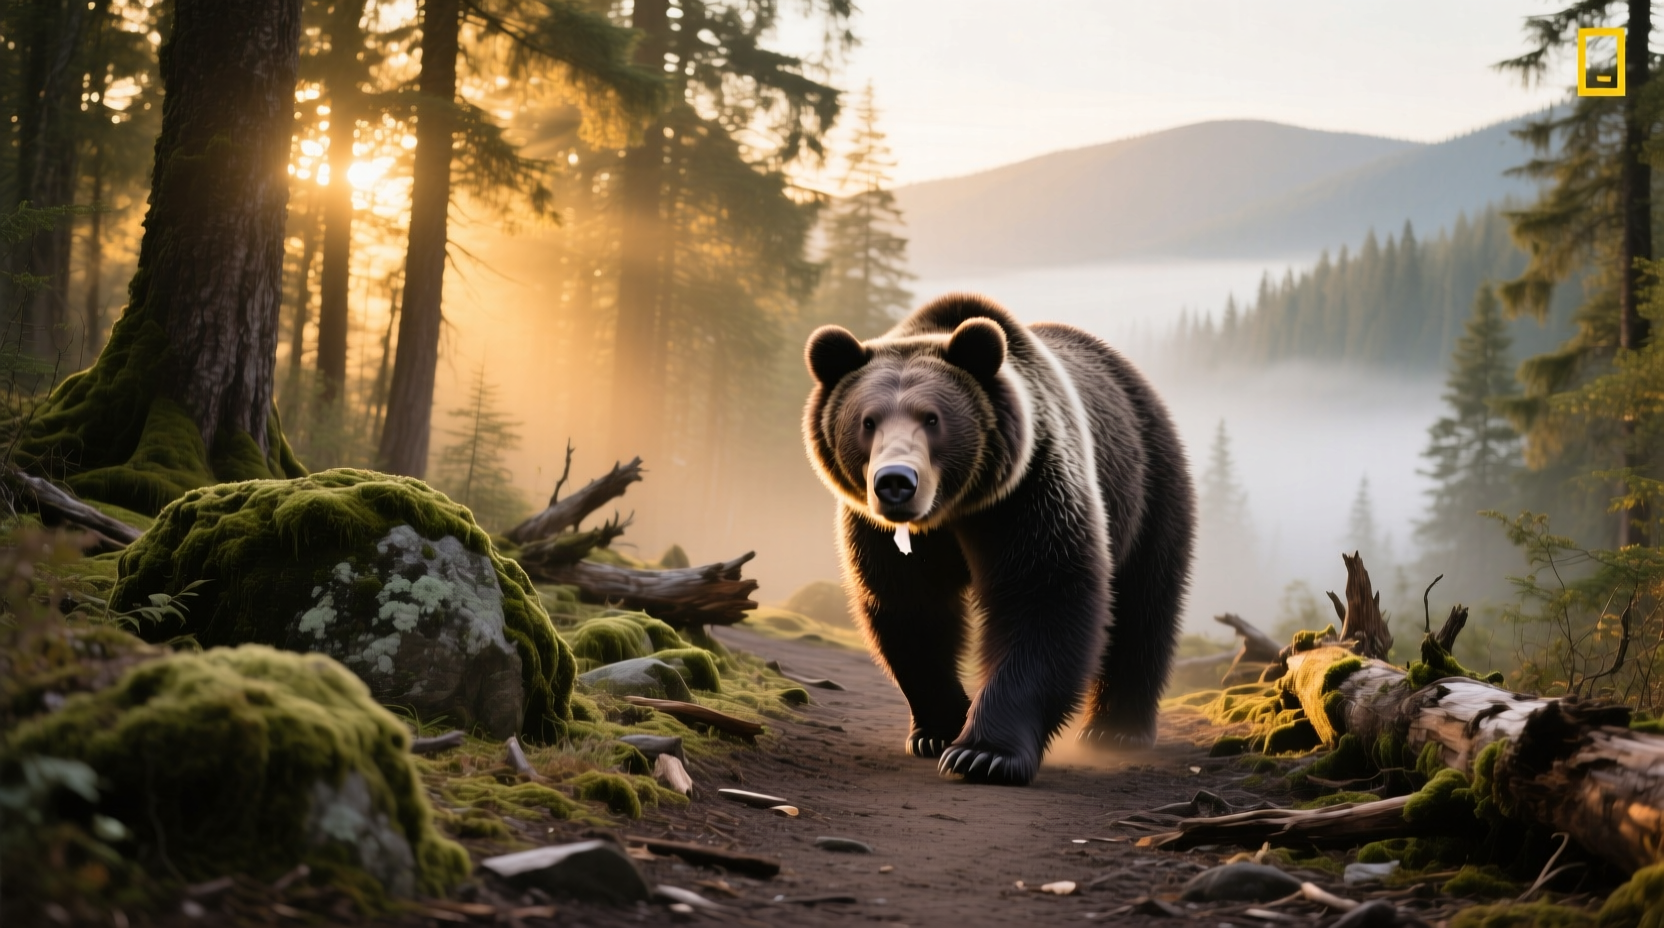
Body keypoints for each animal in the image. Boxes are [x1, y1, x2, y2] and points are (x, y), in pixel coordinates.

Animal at [802, 293, 1195, 786]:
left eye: (932, 418)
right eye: (867, 421)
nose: (895, 482)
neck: (952, 510)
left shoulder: (1028, 492)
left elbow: (1043, 596)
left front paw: (983, 754)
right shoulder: (880, 531)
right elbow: (909, 606)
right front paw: (937, 731)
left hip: (1148, 487)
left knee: (1145, 603)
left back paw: (1117, 729)